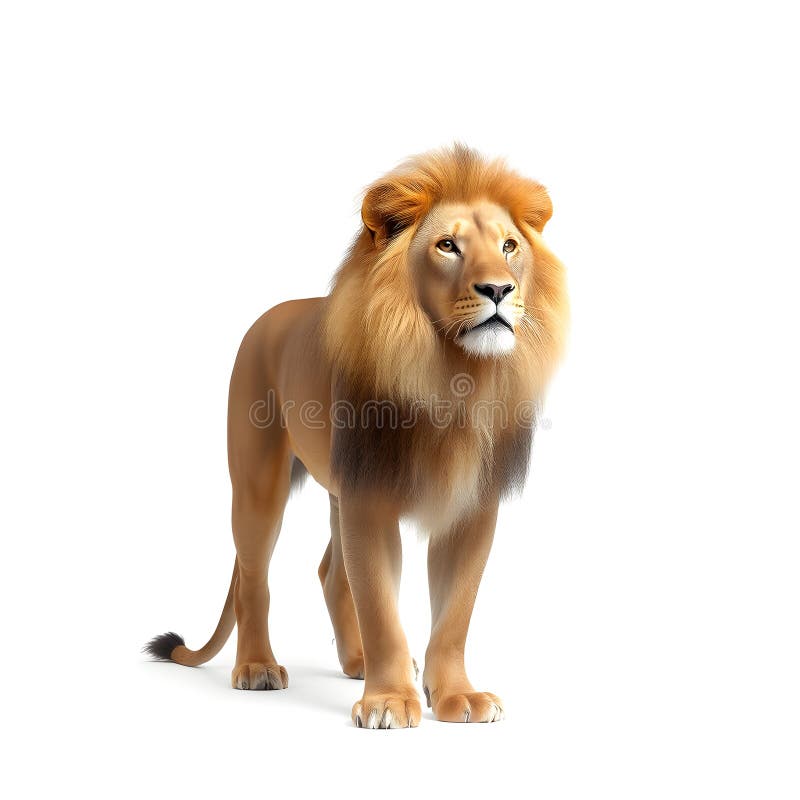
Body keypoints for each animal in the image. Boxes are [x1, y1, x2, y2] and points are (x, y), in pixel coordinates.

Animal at [145, 144, 568, 728]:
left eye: (509, 246)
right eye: (447, 245)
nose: (500, 289)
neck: (453, 378)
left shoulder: (471, 508)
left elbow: (454, 614)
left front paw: (457, 696)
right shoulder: (369, 499)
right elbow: (381, 609)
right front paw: (388, 701)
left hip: (335, 490)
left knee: (329, 571)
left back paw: (356, 662)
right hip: (258, 485)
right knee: (255, 577)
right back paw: (257, 667)